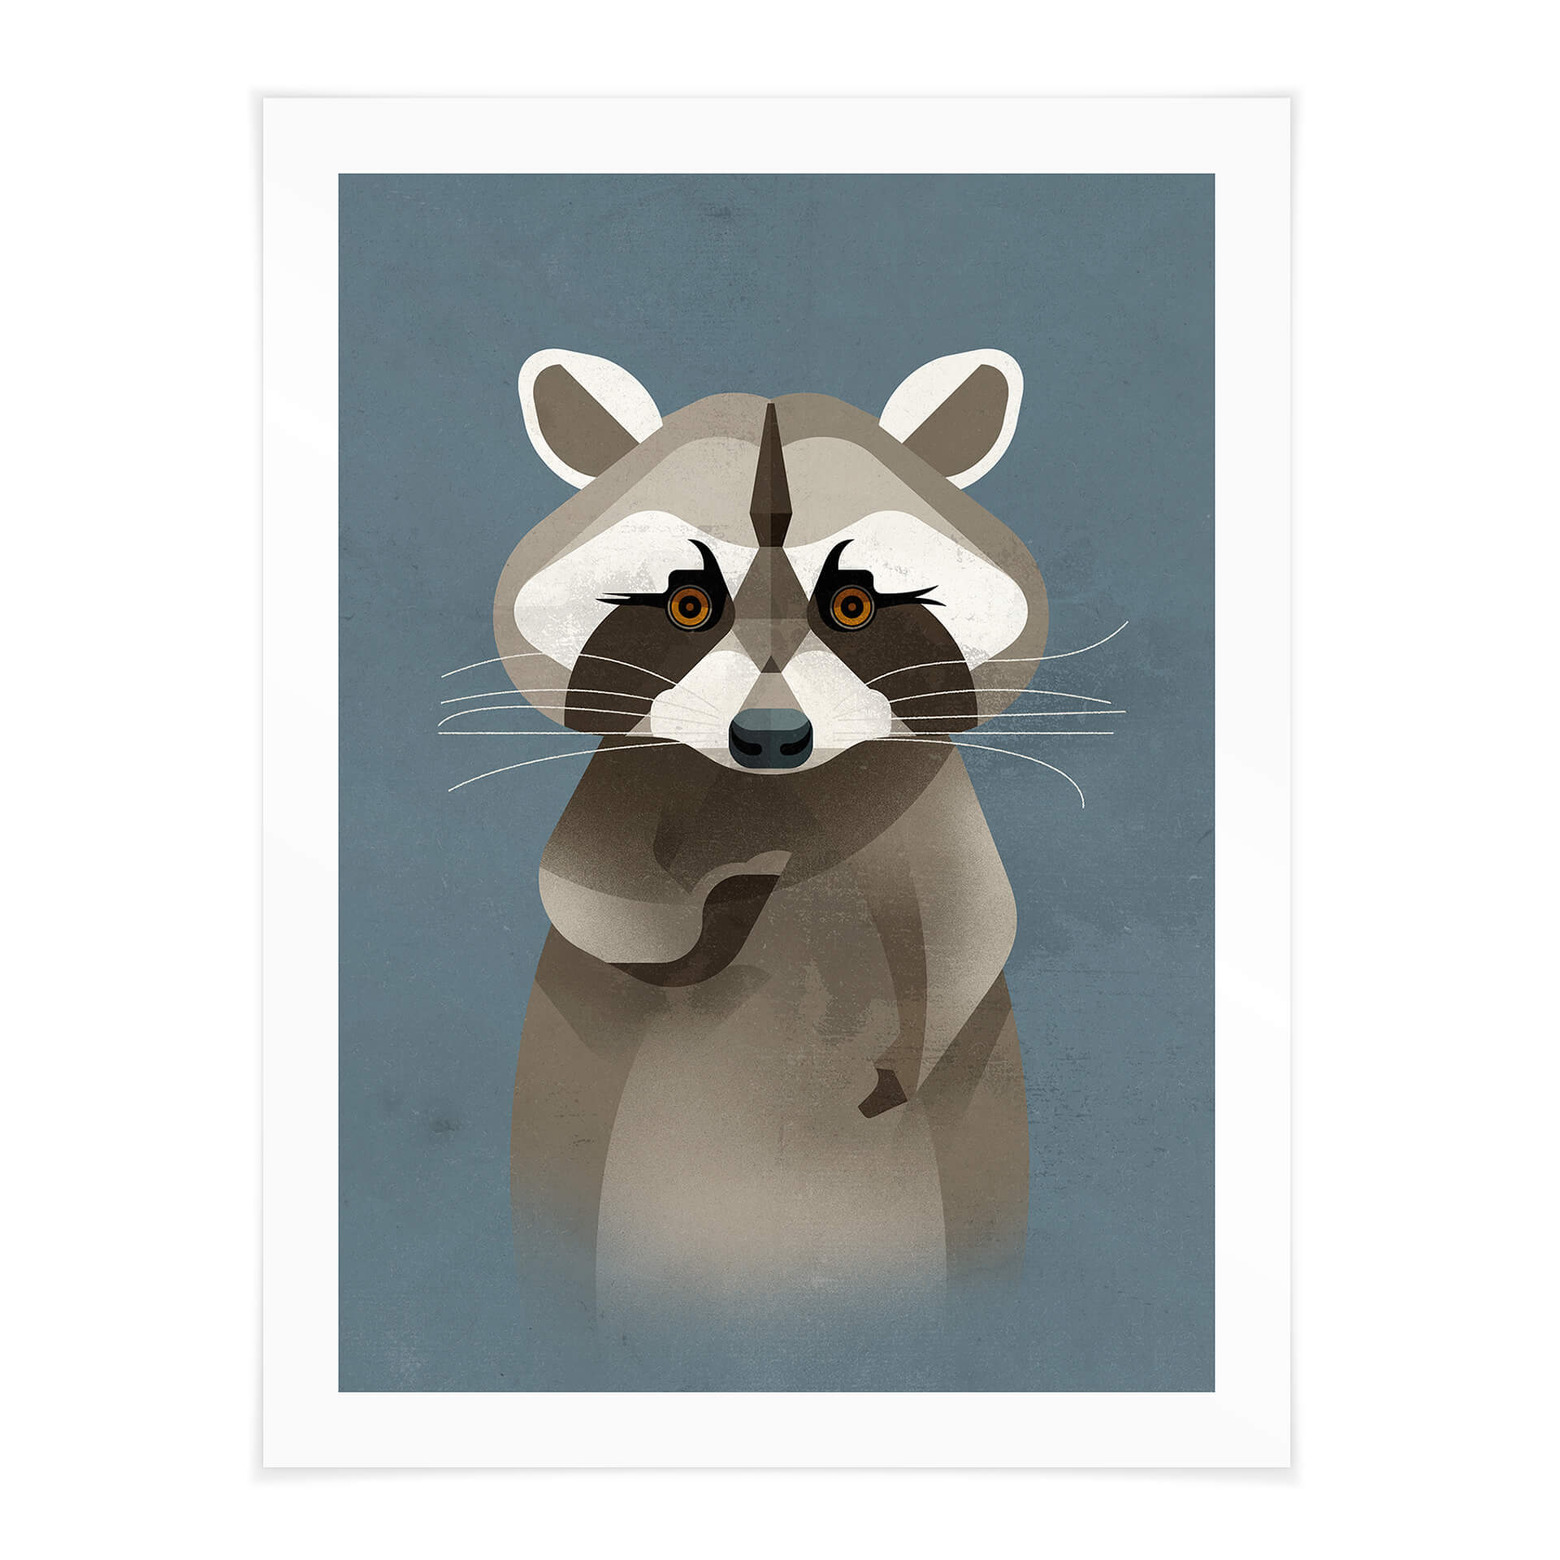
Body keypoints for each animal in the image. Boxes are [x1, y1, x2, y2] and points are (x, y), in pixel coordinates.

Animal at [484, 348, 1050, 1336]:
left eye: (854, 605)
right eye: (688, 604)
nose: (772, 738)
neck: (782, 797)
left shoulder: (916, 789)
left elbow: (974, 913)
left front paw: (914, 1046)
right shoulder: (636, 771)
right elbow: (583, 888)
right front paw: (710, 911)